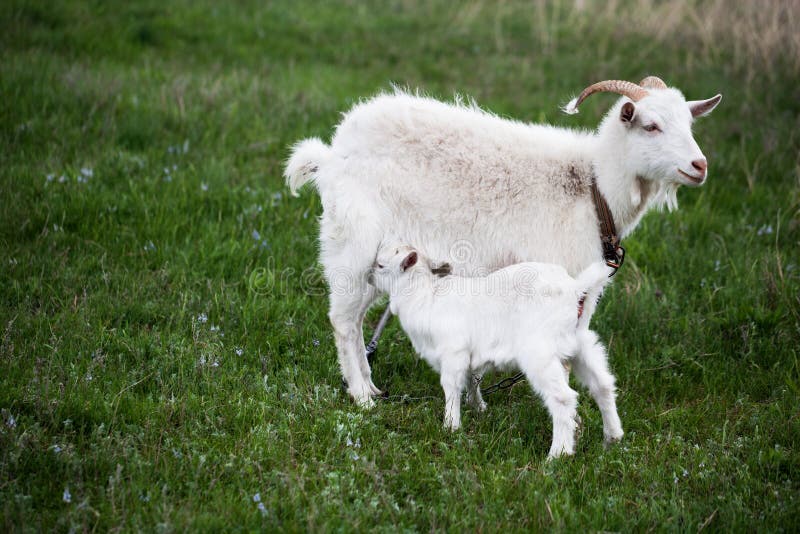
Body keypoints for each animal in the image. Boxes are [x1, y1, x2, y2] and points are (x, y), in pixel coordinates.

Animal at [284, 76, 721, 406]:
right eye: (651, 125)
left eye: (690, 125)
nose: (700, 166)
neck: (592, 187)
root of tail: (331, 155)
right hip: (352, 244)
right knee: (343, 320)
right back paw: (362, 397)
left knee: (357, 319)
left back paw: (371, 387)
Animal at [370, 244, 618, 458]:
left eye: (381, 265)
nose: (368, 276)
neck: (426, 296)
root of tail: (575, 290)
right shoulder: (472, 354)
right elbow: (473, 378)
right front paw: (478, 408)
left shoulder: (453, 351)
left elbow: (451, 387)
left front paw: (450, 426)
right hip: (580, 344)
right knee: (602, 384)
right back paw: (612, 439)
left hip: (540, 352)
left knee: (563, 398)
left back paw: (558, 454)